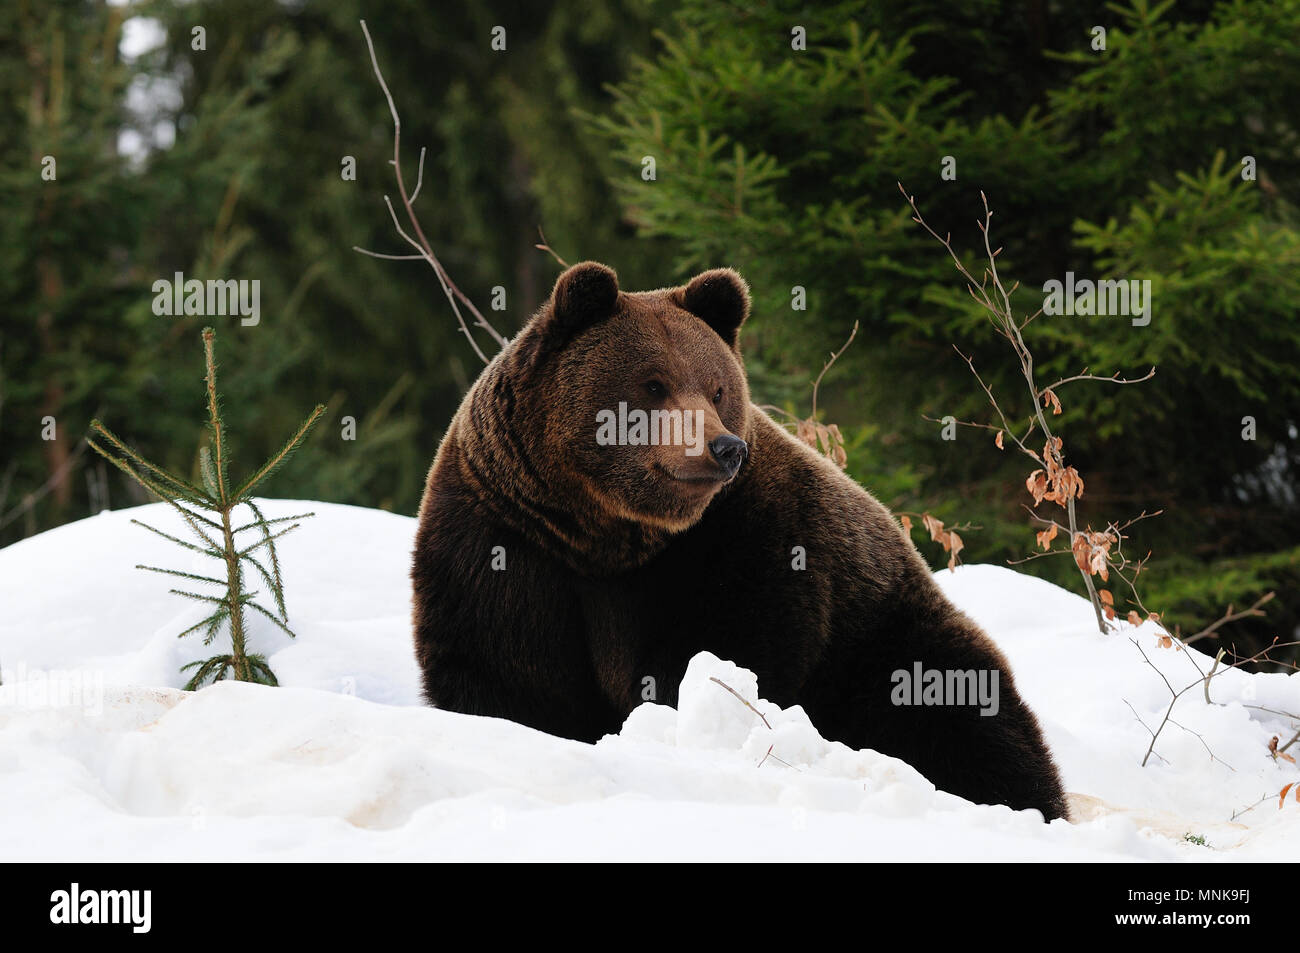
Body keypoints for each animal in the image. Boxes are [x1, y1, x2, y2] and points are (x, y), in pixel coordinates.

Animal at [412, 261, 1069, 821]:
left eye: (717, 388)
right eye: (653, 384)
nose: (723, 448)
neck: (610, 535)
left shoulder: (749, 542)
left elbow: (722, 653)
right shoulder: (507, 538)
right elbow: (504, 669)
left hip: (888, 645)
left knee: (964, 715)